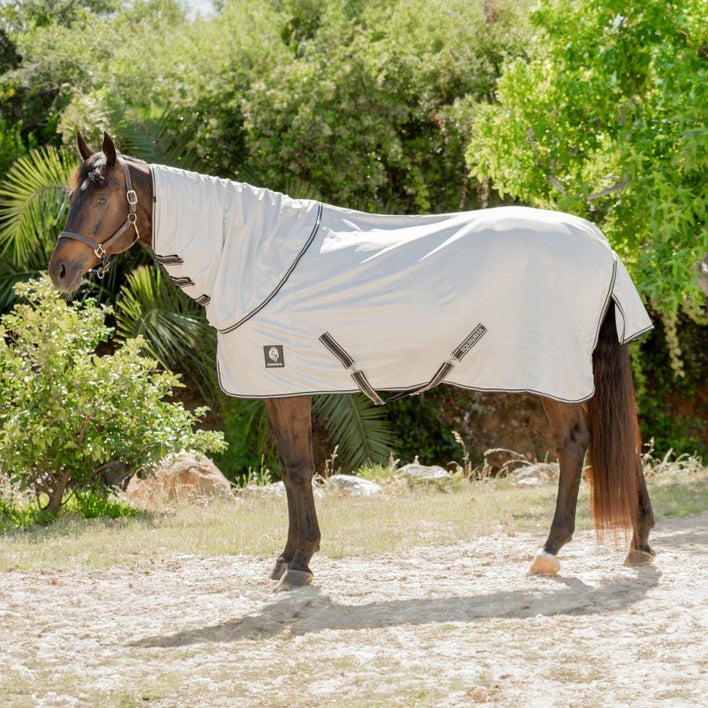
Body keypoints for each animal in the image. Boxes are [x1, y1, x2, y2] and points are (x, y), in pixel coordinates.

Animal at [48, 132, 656, 589]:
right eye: (73, 195)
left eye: (100, 199)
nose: (60, 270)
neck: (249, 254)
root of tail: (599, 243)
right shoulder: (279, 388)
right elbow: (291, 467)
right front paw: (289, 557)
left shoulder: (284, 381)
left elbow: (297, 468)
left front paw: (298, 562)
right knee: (619, 438)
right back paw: (640, 544)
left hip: (554, 372)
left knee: (575, 443)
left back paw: (551, 550)